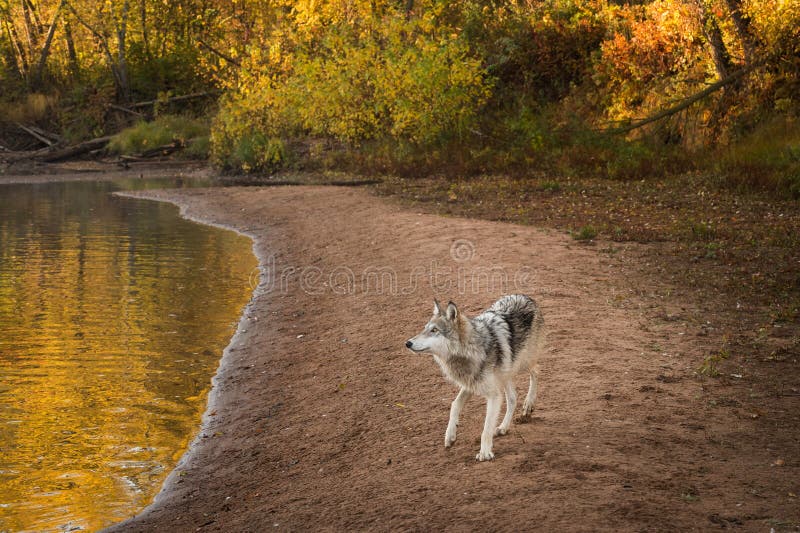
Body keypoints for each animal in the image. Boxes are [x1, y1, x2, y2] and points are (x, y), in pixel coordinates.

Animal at [405, 294, 544, 461]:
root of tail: (525, 297)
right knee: (513, 398)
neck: (471, 349)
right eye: (425, 329)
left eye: (434, 330)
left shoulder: (493, 395)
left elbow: (486, 428)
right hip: (506, 373)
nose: (408, 343)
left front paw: (485, 453)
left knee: (536, 371)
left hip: (523, 364)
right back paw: (503, 427)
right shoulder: (471, 384)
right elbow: (455, 405)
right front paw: (450, 435)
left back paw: (528, 405)